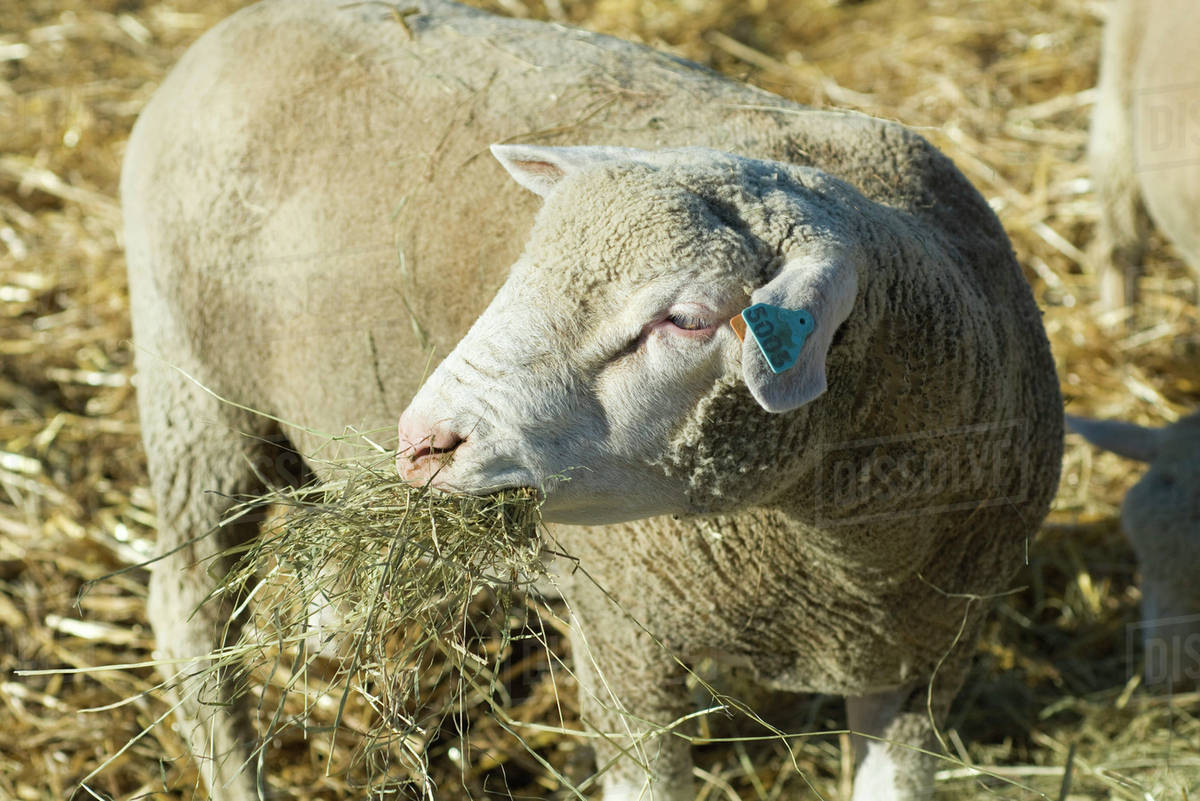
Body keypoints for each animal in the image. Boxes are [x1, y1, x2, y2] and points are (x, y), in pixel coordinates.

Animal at [121, 0, 1063, 799]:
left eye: (687, 320)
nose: (424, 442)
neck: (847, 565)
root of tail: (233, 29)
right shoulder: (623, 634)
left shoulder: (923, 664)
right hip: (196, 397)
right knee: (190, 617)